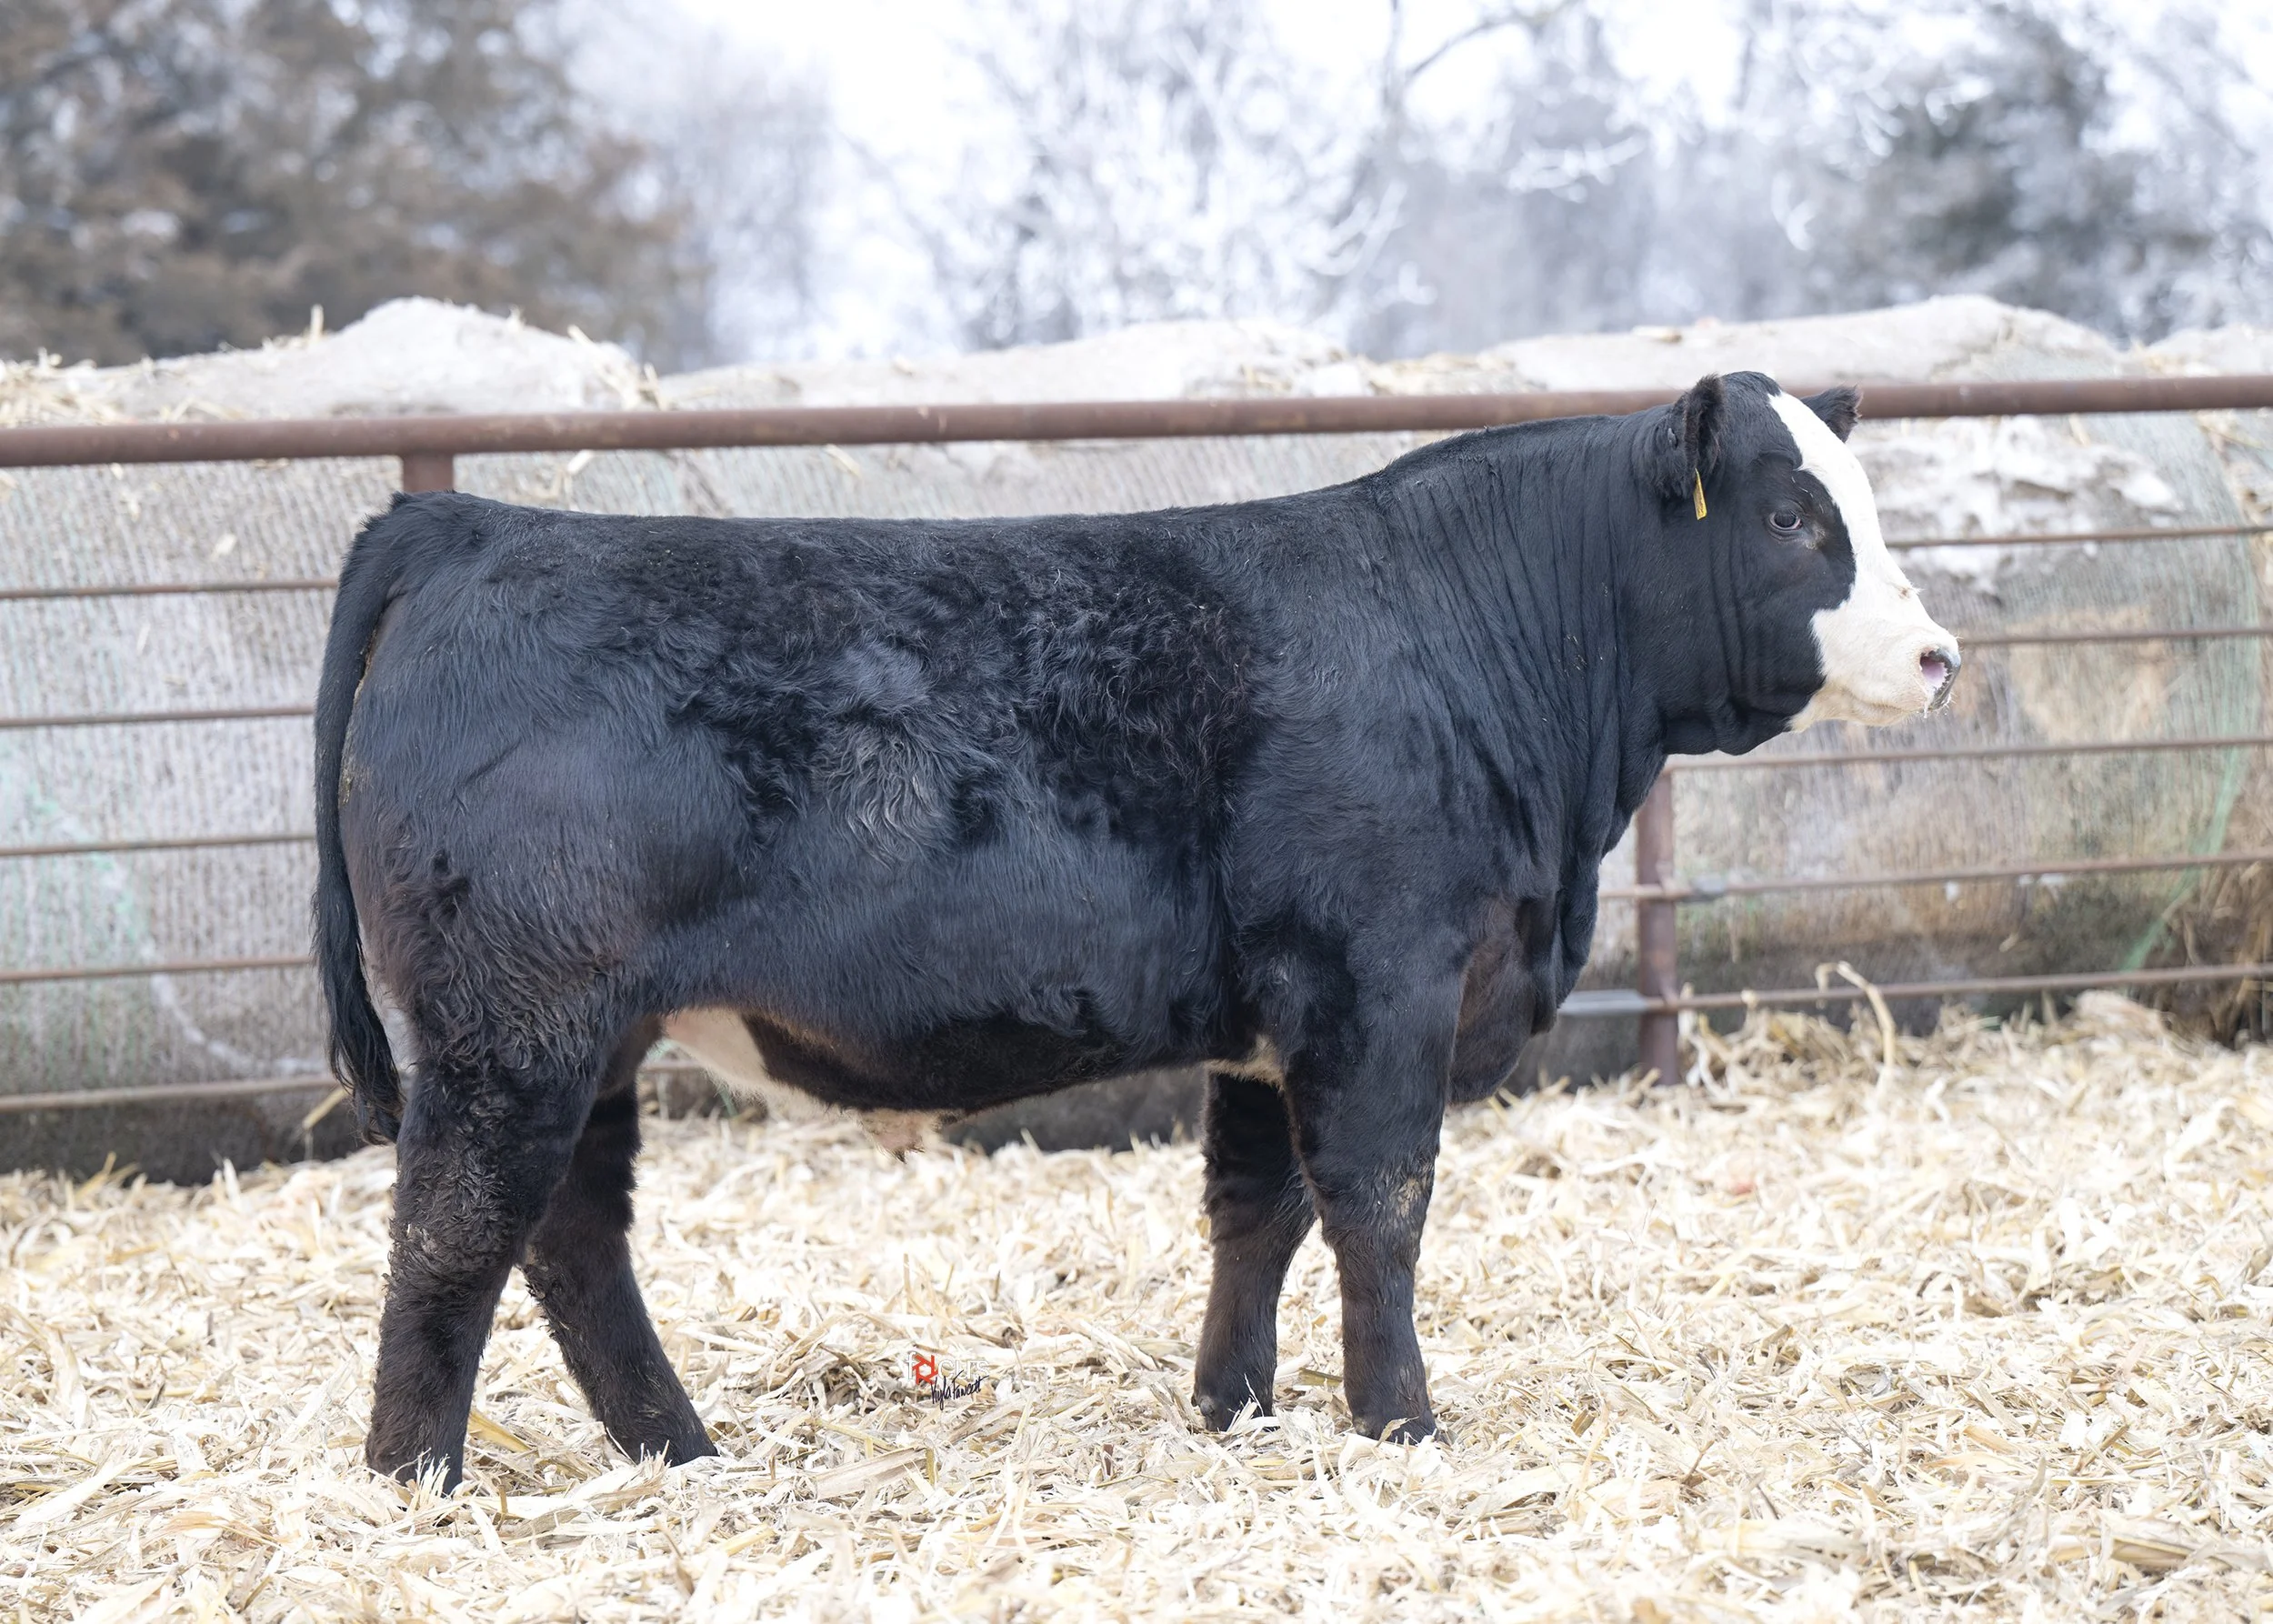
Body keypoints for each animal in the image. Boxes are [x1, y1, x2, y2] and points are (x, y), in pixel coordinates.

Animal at [314, 371, 1959, 1488]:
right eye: (1792, 515)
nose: (1944, 655)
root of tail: (470, 522)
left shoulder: (1270, 1018)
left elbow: (1258, 1212)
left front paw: (1236, 1408)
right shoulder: (1381, 984)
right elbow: (1381, 1206)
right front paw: (1402, 1420)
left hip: (584, 1034)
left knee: (573, 1237)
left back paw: (677, 1451)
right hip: (516, 1022)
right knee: (458, 1228)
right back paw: (417, 1479)